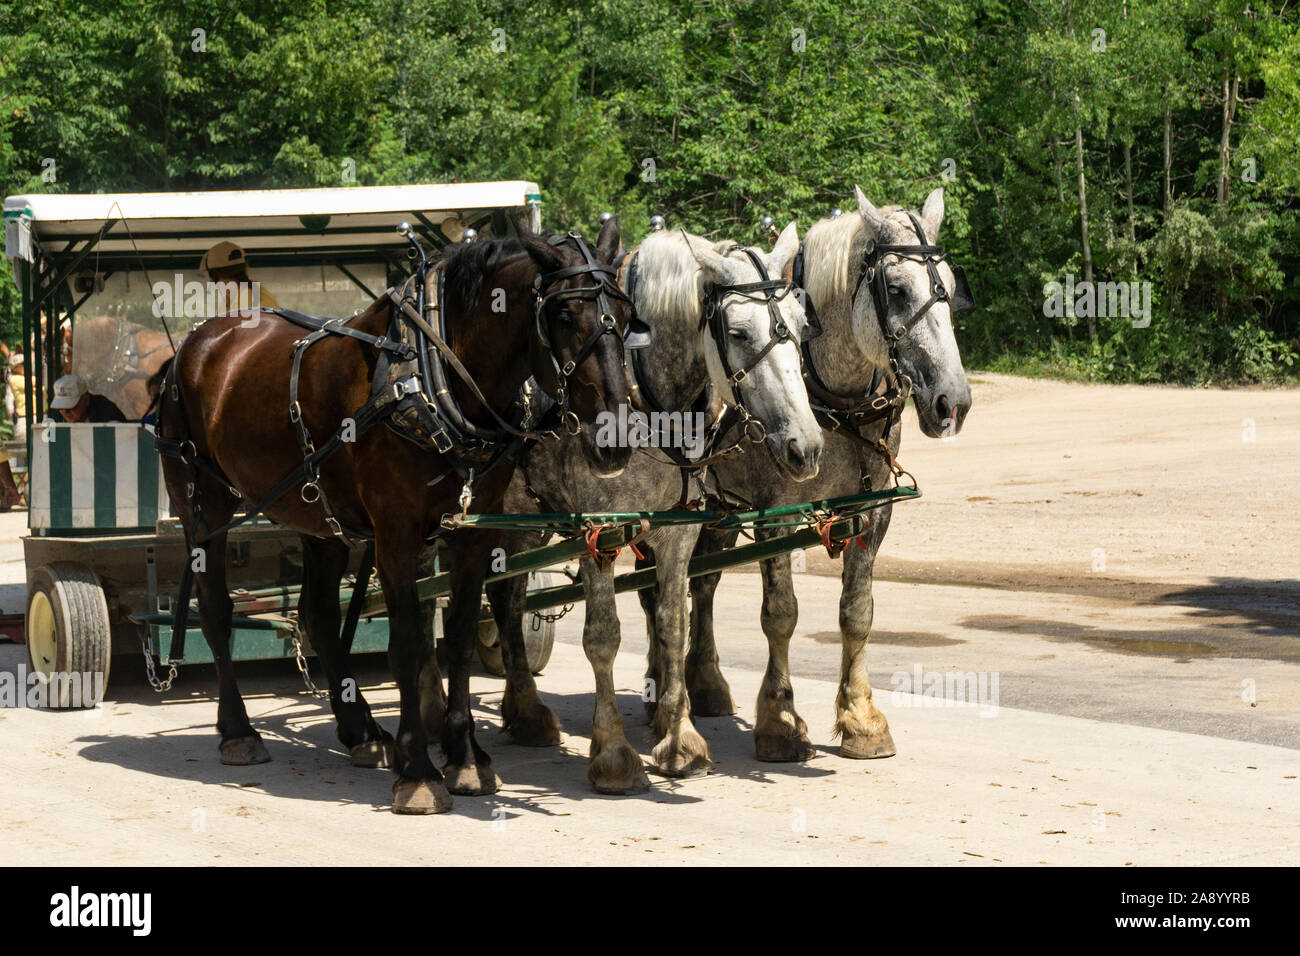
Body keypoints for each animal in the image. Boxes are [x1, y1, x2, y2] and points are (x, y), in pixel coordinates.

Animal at [155, 217, 635, 814]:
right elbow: (406, 641)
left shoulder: (473, 529)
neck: (431, 375)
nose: (615, 437)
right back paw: (238, 731)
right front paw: (419, 770)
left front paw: (465, 756)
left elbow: (457, 635)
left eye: (627, 316)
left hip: (319, 512)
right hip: (203, 503)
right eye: (565, 316)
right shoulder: (396, 532)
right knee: (217, 609)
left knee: (317, 612)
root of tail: (196, 342)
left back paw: (360, 730)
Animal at [485, 225, 823, 793]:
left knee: (507, 602)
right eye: (738, 332)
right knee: (498, 603)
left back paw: (521, 711)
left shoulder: (678, 530)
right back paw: (521, 711)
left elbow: (672, 623)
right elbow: (602, 637)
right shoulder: (599, 531)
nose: (807, 445)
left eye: (800, 324)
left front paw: (680, 739)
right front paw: (614, 755)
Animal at [682, 187, 973, 761]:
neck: (833, 398)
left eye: (950, 288)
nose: (954, 401)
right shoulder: (775, 510)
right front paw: (779, 722)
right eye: (897, 289)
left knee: (702, 581)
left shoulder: (871, 509)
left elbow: (857, 610)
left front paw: (861, 717)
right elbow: (781, 613)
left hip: (721, 506)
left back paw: (703, 683)